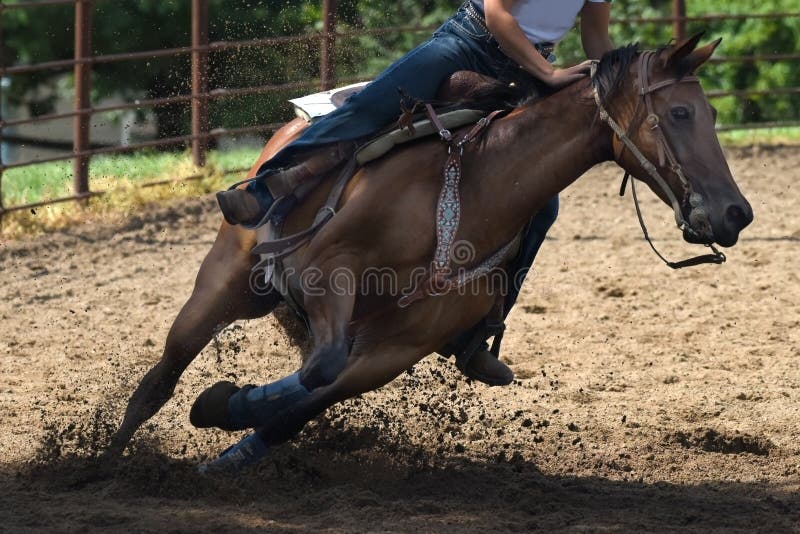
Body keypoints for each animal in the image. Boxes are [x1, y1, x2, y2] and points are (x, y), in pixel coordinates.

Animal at [107, 35, 753, 466]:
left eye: (713, 112)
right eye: (679, 112)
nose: (735, 213)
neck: (476, 189)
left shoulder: (398, 347)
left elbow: (306, 399)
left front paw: (226, 414)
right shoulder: (325, 275)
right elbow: (318, 369)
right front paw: (221, 409)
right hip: (227, 279)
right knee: (162, 377)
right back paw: (103, 462)